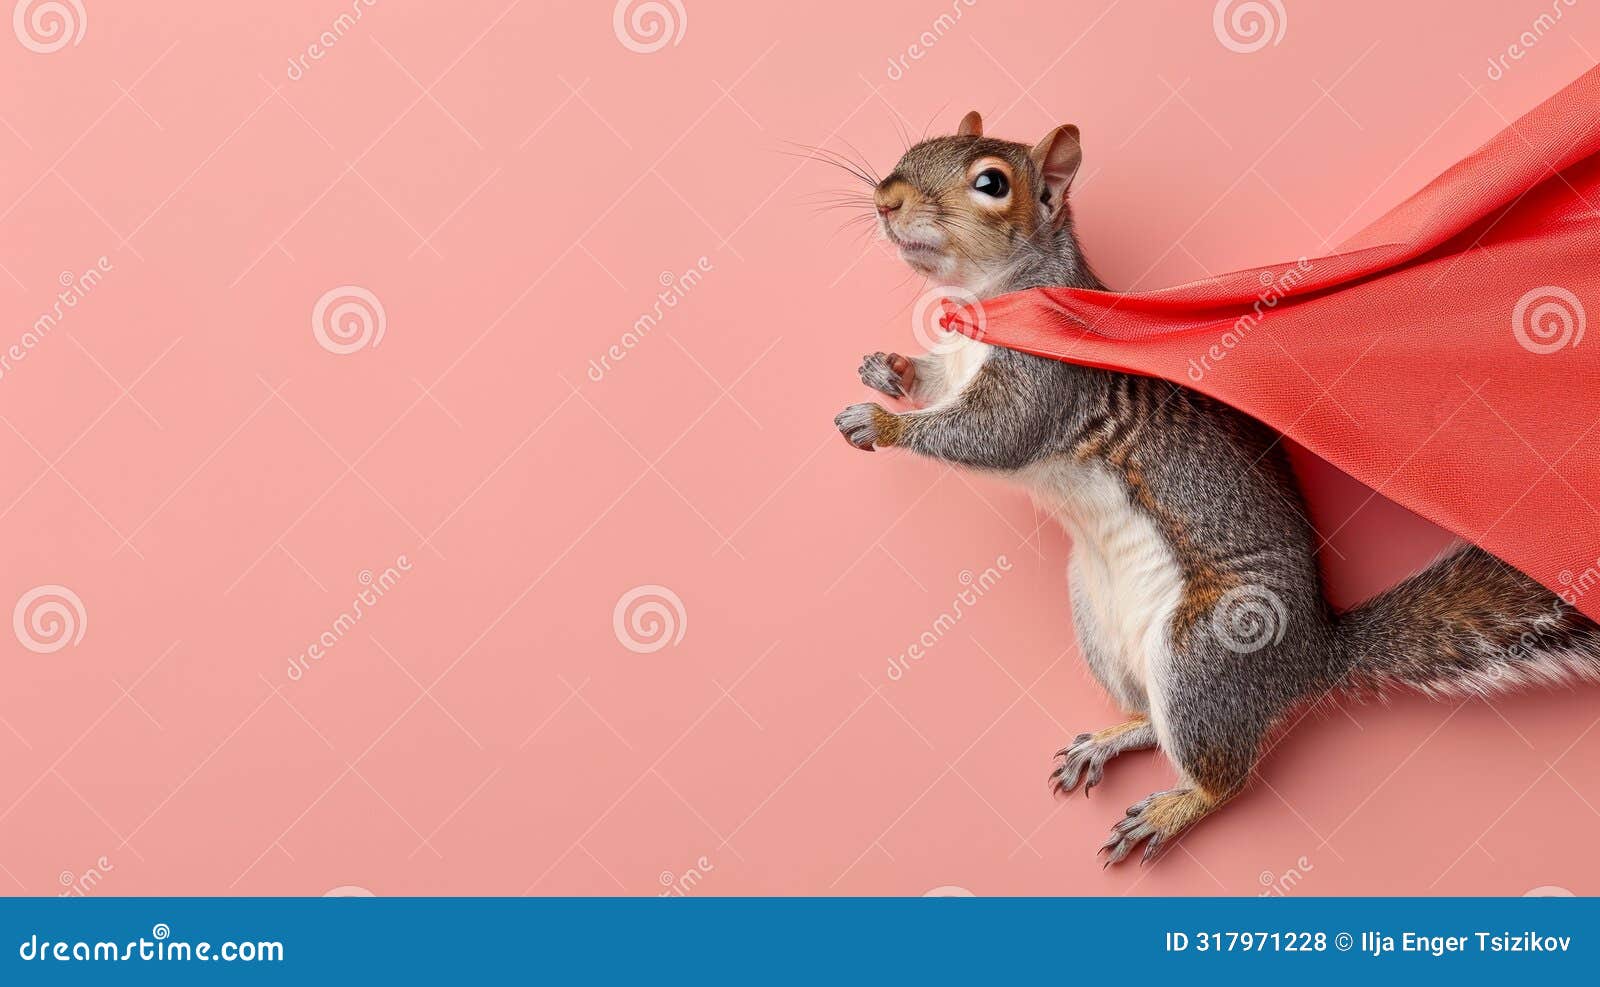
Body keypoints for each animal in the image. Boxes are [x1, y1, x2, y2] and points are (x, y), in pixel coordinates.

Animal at [833, 110, 1600, 865]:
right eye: (916, 146)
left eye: (991, 183)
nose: (886, 199)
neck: (985, 306)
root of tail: (1311, 658)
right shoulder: (959, 367)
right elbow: (935, 382)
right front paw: (889, 369)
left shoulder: (1048, 380)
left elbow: (993, 434)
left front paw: (881, 421)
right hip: (1098, 620)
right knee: (1151, 717)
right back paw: (1112, 738)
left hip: (1207, 649)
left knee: (1225, 774)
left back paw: (1174, 809)